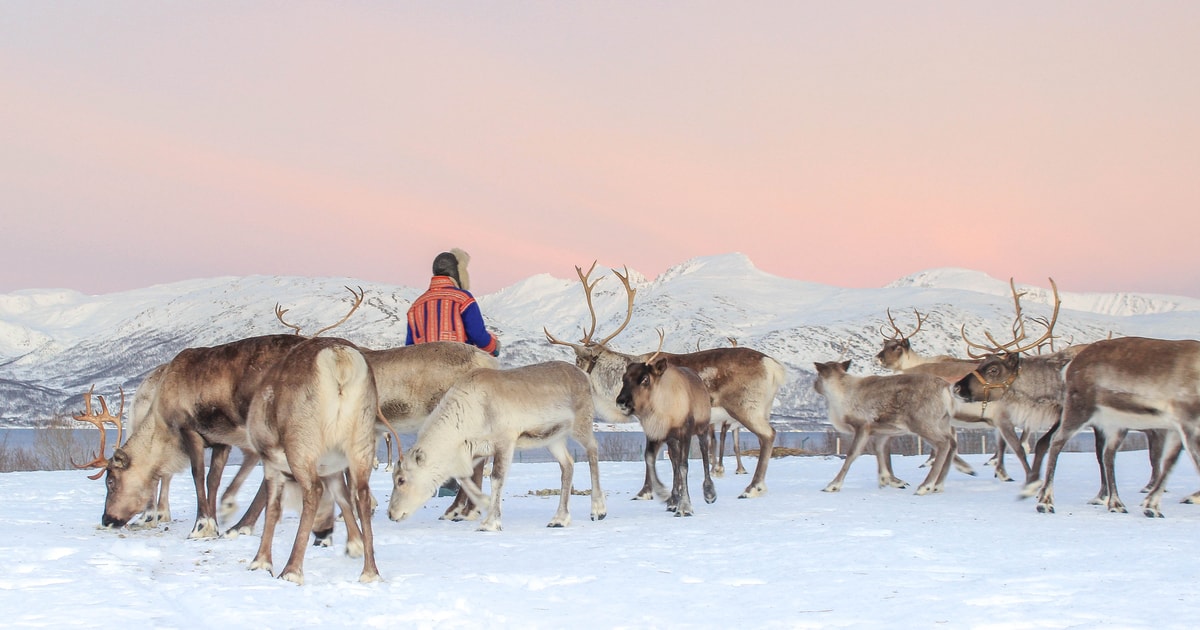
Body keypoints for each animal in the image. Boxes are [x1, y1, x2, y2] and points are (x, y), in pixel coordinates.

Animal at [246, 335, 381, 584]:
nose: (323, 533)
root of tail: (339, 357)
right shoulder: (333, 468)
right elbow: (342, 497)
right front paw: (354, 544)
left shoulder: (271, 464)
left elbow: (272, 509)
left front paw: (260, 562)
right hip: (362, 443)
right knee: (362, 494)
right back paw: (370, 572)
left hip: (301, 446)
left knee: (314, 490)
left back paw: (291, 571)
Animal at [388, 361, 606, 532]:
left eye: (401, 479)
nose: (391, 514)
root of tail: (585, 376)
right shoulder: (475, 450)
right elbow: (464, 477)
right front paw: (483, 503)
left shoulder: (505, 442)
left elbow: (496, 478)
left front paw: (490, 522)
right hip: (553, 439)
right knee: (567, 464)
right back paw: (559, 519)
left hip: (581, 425)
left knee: (593, 449)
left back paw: (598, 509)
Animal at [616, 333, 716, 516]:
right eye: (624, 378)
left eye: (645, 379)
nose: (622, 401)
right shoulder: (657, 434)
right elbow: (650, 459)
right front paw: (664, 494)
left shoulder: (685, 431)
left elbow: (684, 466)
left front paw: (685, 506)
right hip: (673, 440)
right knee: (674, 462)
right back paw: (673, 499)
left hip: (702, 428)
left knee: (705, 453)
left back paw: (709, 493)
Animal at [813, 360, 958, 495]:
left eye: (818, 375)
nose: (814, 385)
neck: (840, 394)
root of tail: (946, 388)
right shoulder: (881, 431)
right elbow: (880, 452)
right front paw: (889, 479)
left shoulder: (862, 426)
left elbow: (852, 454)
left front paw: (833, 485)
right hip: (942, 423)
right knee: (952, 443)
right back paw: (938, 485)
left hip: (922, 423)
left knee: (944, 443)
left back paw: (926, 486)